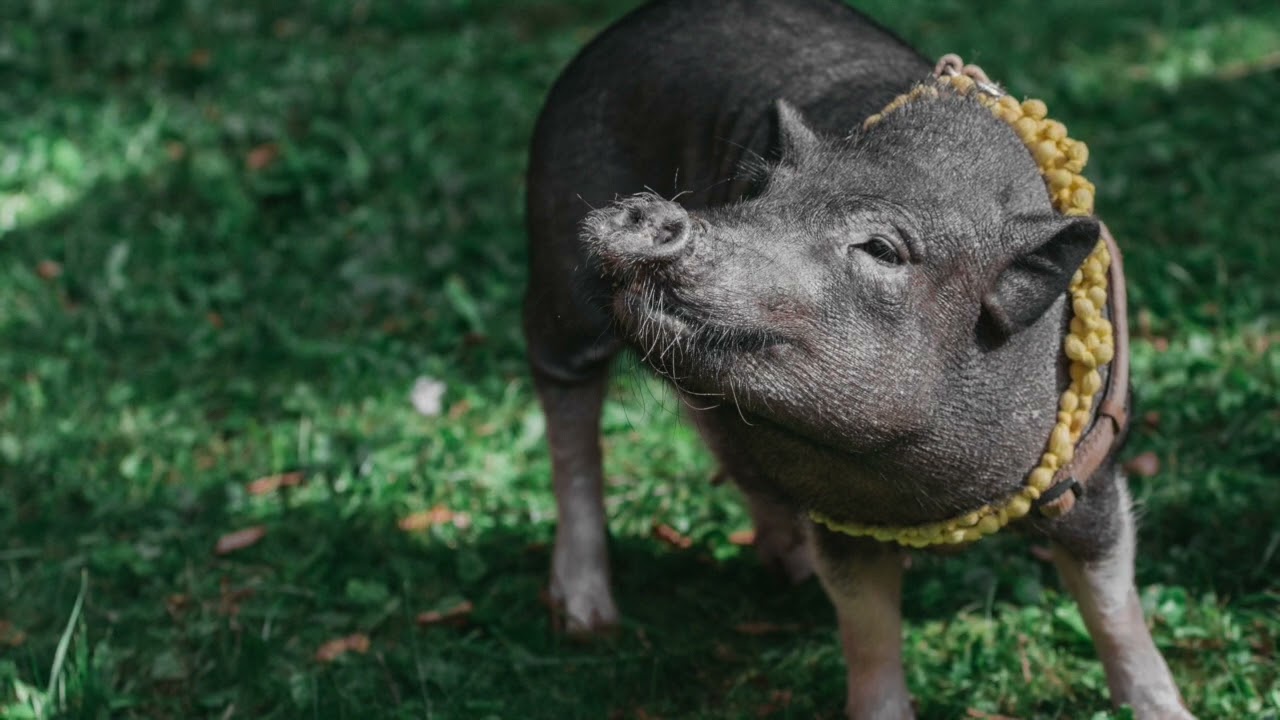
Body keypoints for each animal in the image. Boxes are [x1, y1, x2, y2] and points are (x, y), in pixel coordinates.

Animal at [522, 0, 1192, 718]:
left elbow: (1113, 603)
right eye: (756, 194)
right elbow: (866, 629)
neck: (924, 496)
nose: (653, 211)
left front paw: (1167, 708)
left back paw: (785, 569)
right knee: (570, 422)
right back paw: (588, 623)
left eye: (880, 249)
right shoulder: (842, 516)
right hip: (558, 277)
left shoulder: (1090, 463)